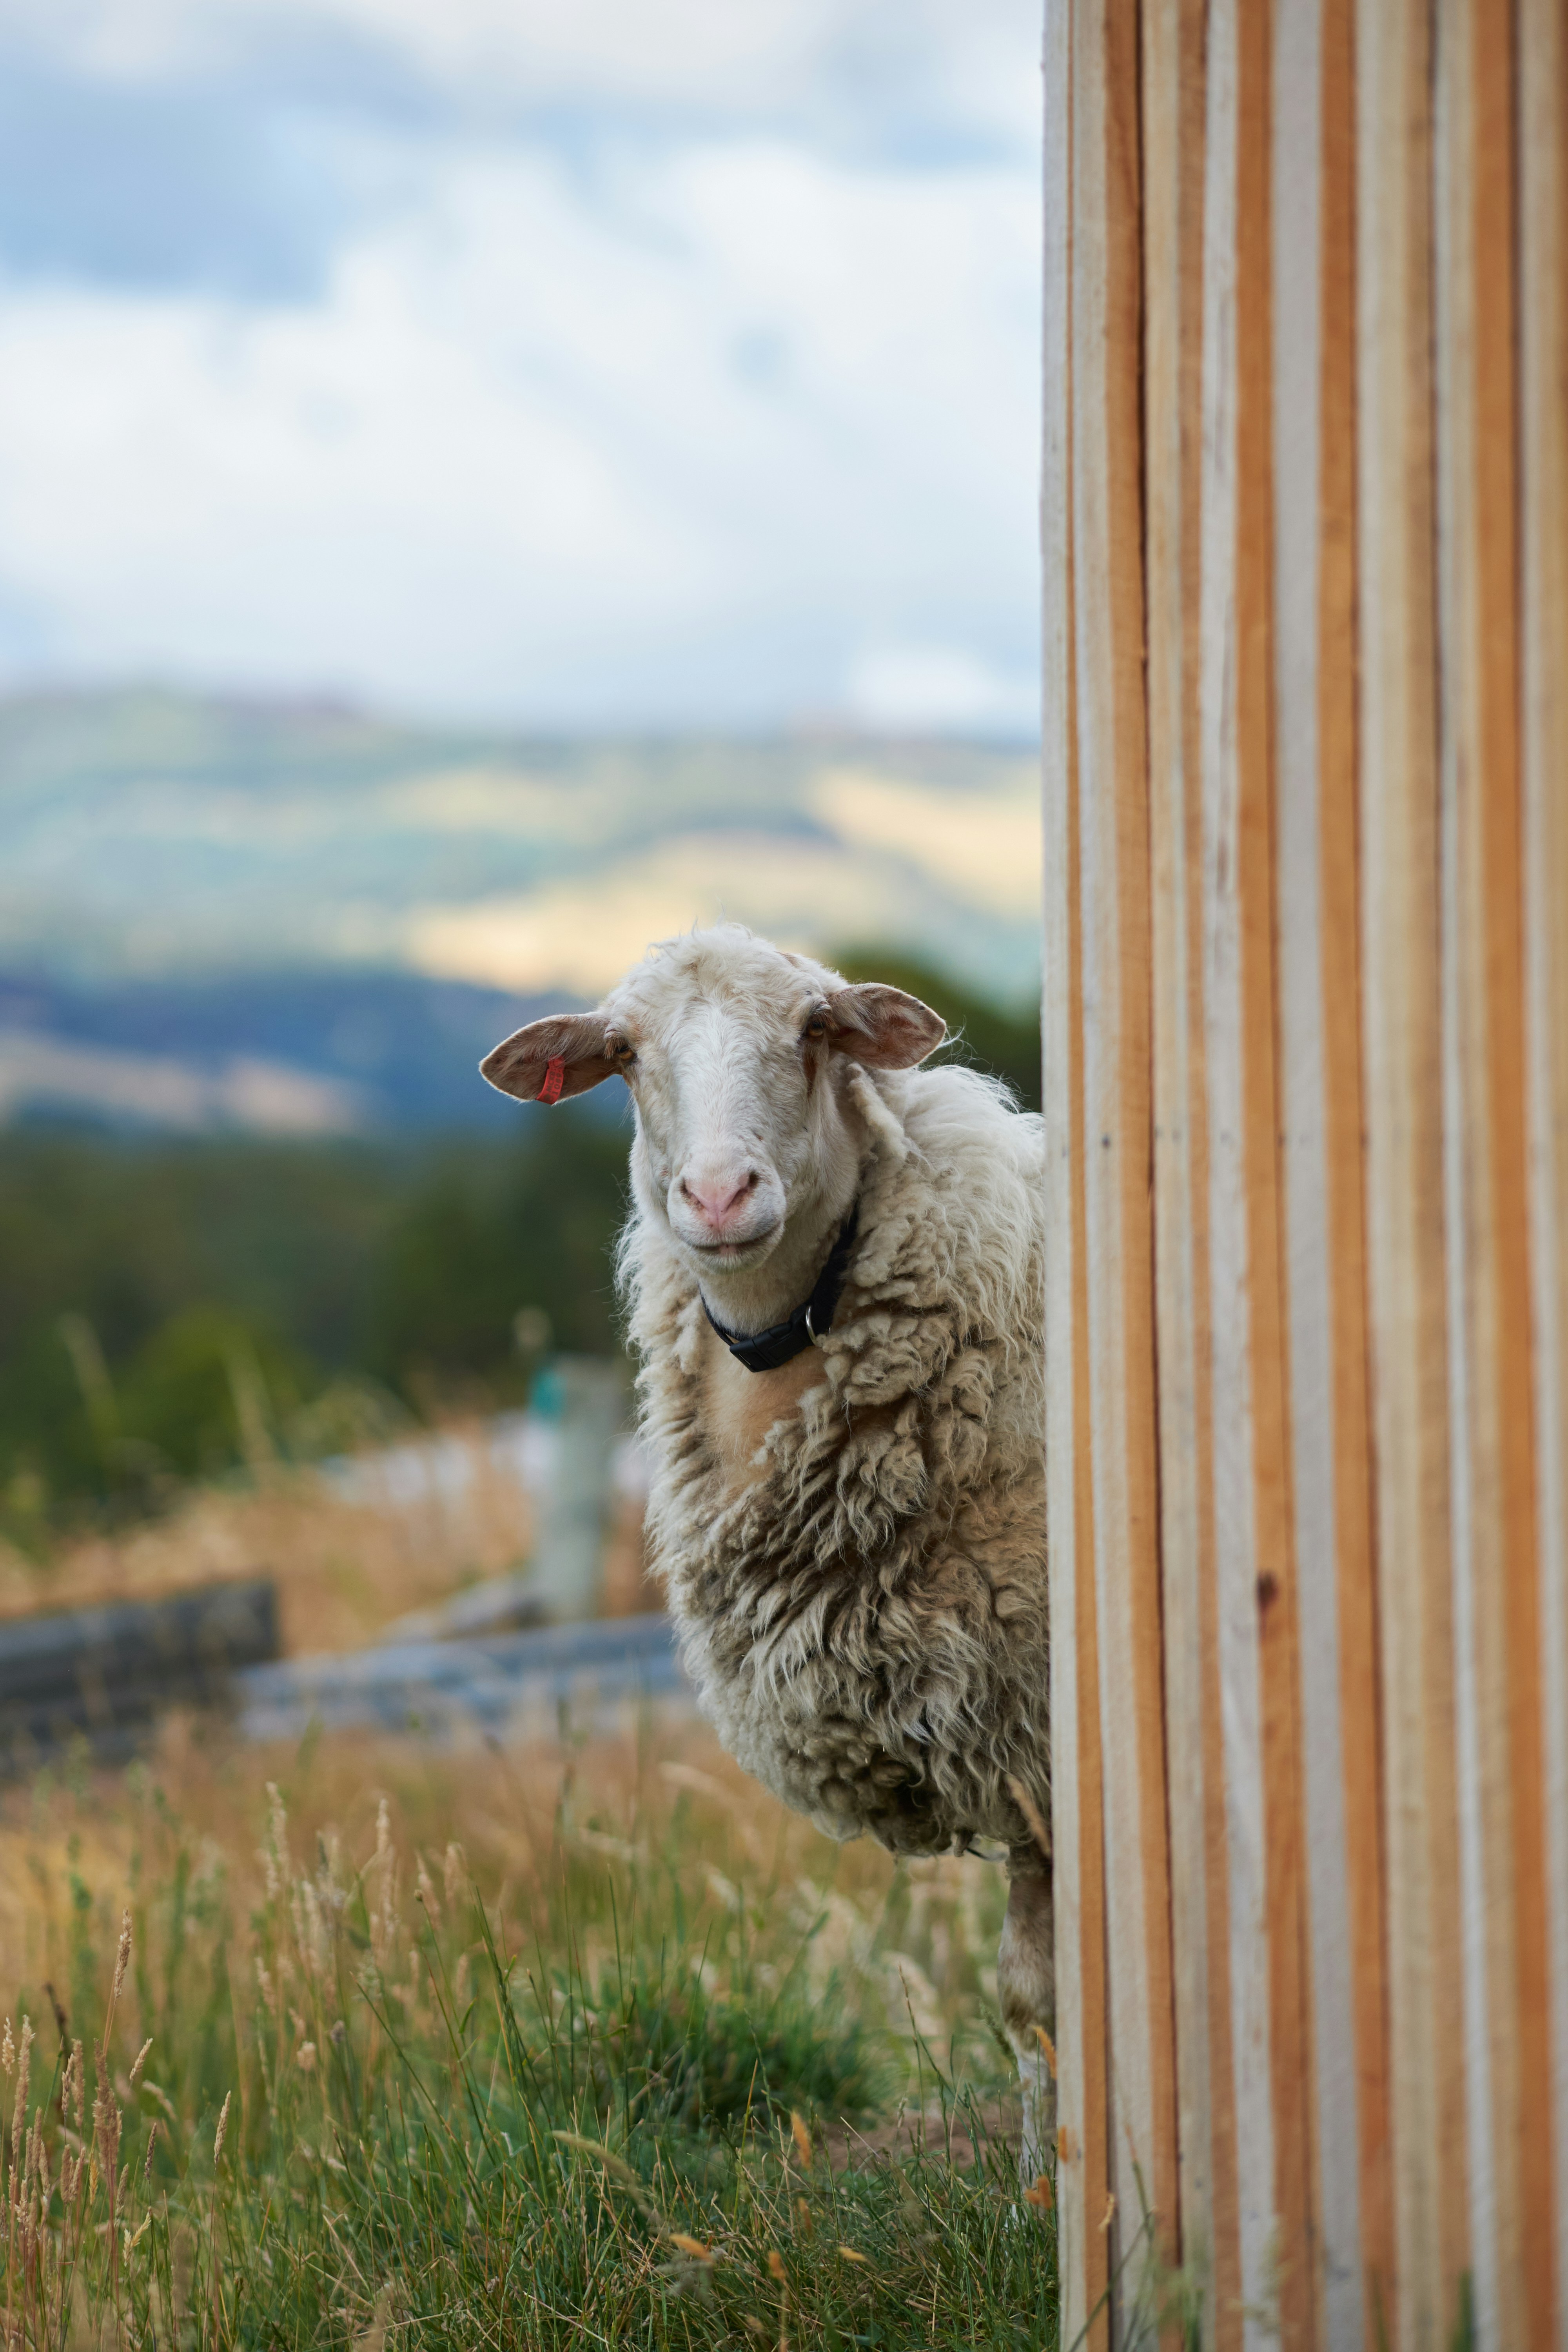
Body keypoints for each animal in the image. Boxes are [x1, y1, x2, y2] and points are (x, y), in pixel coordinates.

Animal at [481, 925, 1053, 2172]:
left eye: (814, 1029)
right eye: (624, 1054)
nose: (717, 1194)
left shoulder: (1037, 1723)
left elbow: (1047, 1991)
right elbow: (1026, 2003)